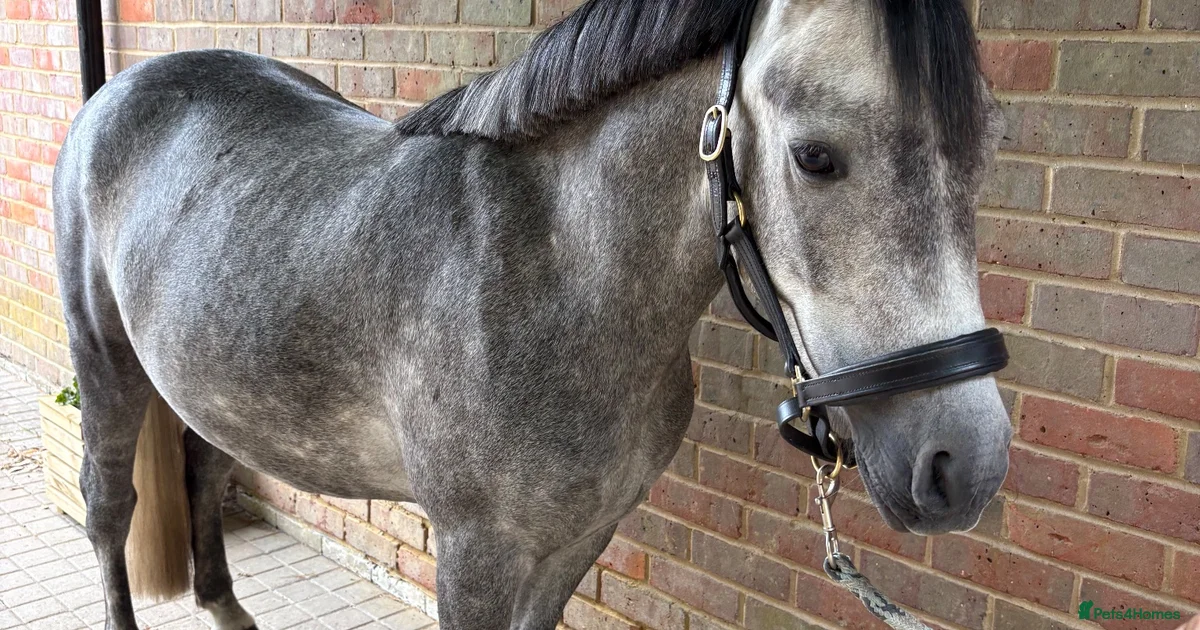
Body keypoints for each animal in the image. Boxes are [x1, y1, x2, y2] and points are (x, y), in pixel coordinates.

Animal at [52, 0, 1011, 627]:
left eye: (981, 151)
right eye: (815, 157)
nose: (962, 463)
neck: (554, 277)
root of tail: (116, 95)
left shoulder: (580, 537)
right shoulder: (476, 551)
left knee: (206, 468)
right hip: (103, 358)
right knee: (107, 505)